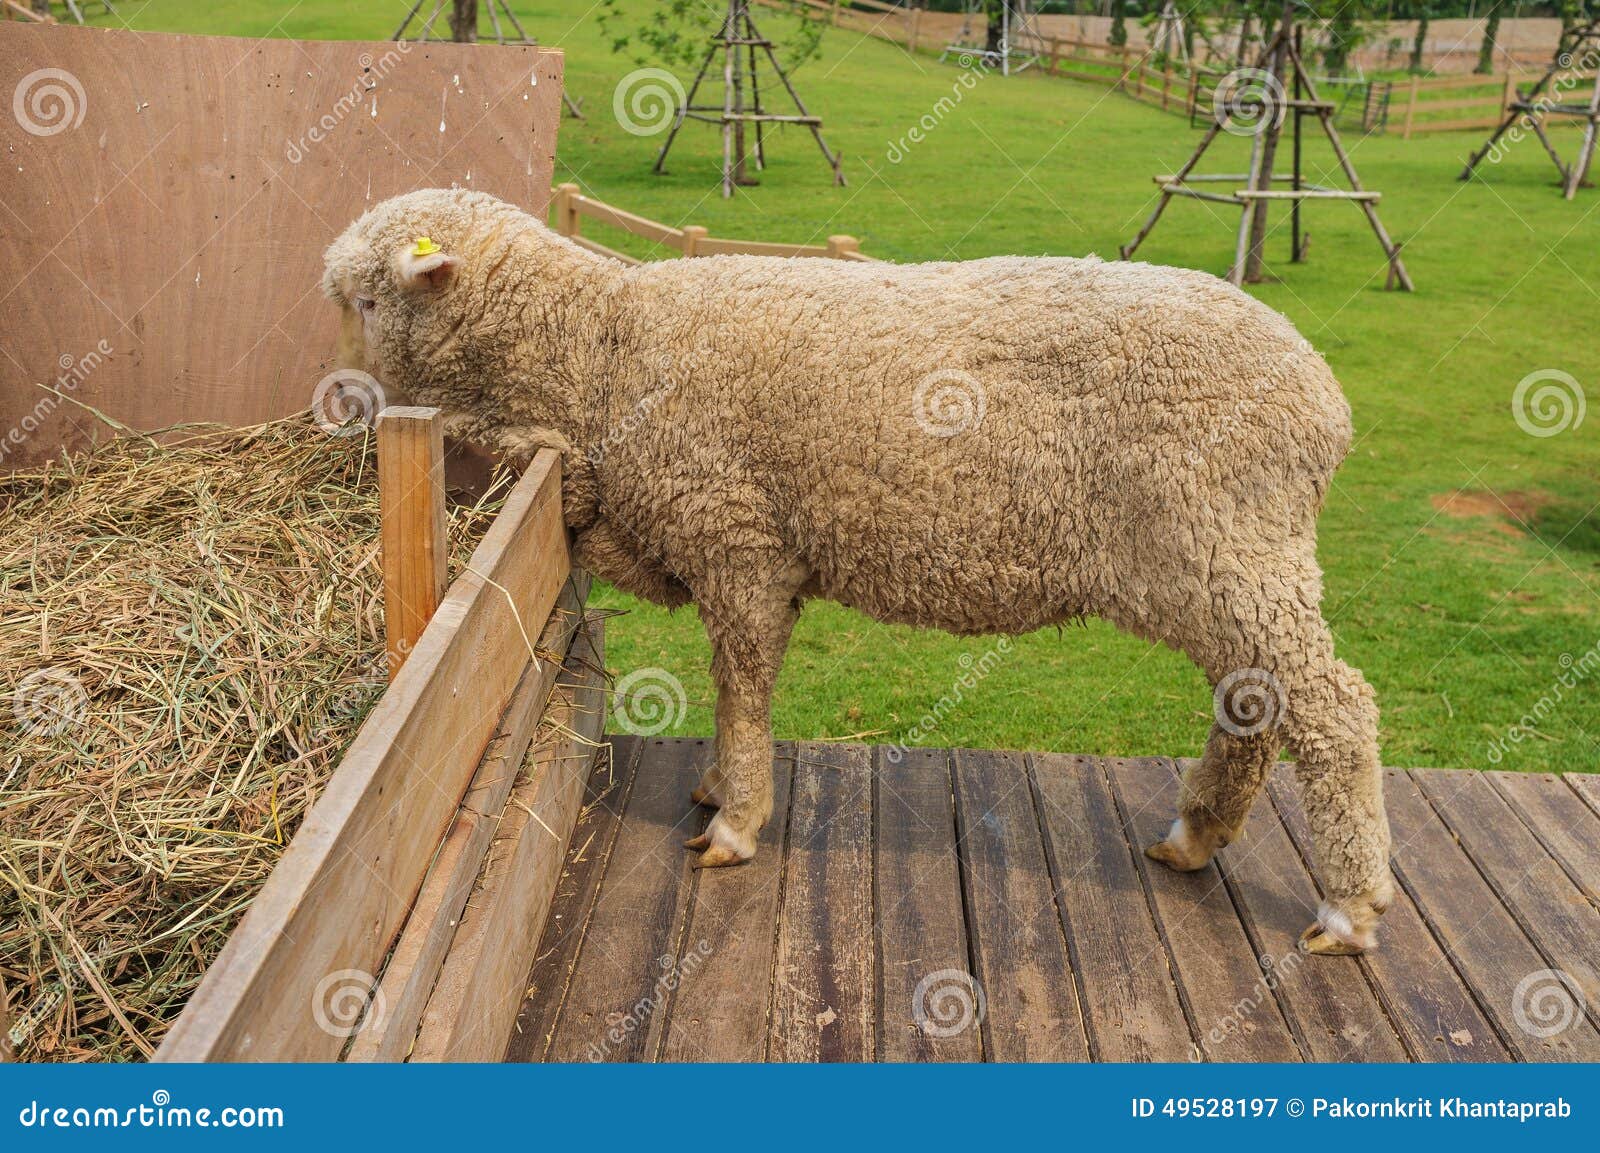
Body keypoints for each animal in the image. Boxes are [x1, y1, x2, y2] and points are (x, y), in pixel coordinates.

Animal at [322, 188, 1393, 955]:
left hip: (1230, 545)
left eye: (368, 300)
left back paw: (1350, 905)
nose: (336, 402)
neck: (603, 348)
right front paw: (721, 785)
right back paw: (1197, 833)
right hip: (1220, 566)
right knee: (1256, 700)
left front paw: (735, 818)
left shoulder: (737, 539)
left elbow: (741, 684)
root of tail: (1326, 397)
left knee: (1333, 708)